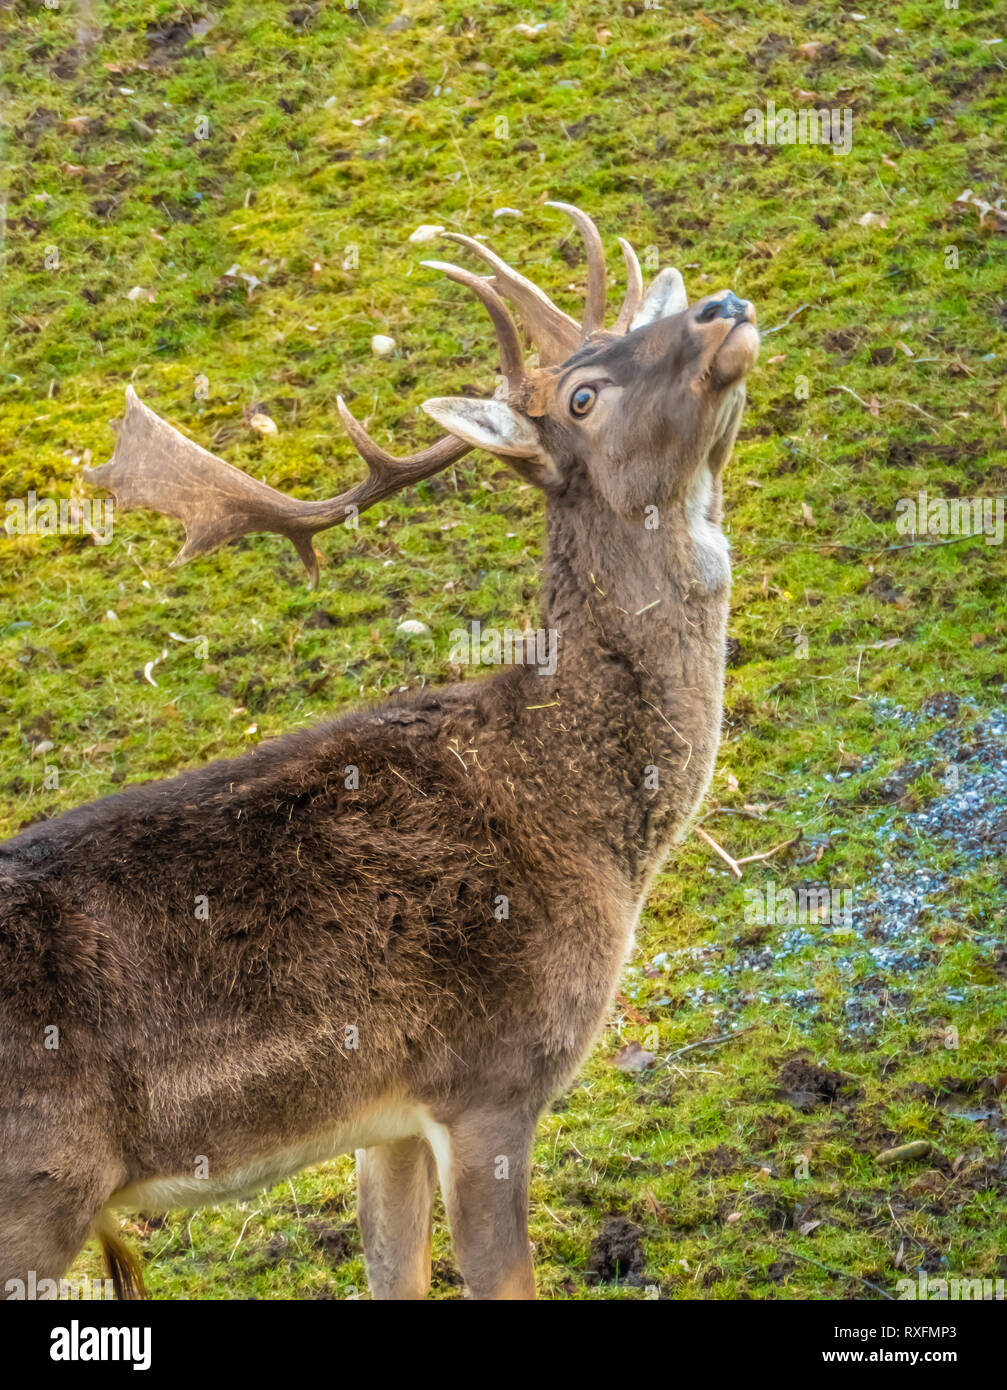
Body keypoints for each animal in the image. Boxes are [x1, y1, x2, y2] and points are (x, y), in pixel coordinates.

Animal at [0, 204, 758, 1301]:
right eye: (583, 395)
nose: (721, 306)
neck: (580, 825)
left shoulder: (384, 1119)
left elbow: (393, 1272)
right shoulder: (488, 1077)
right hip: (36, 1194)